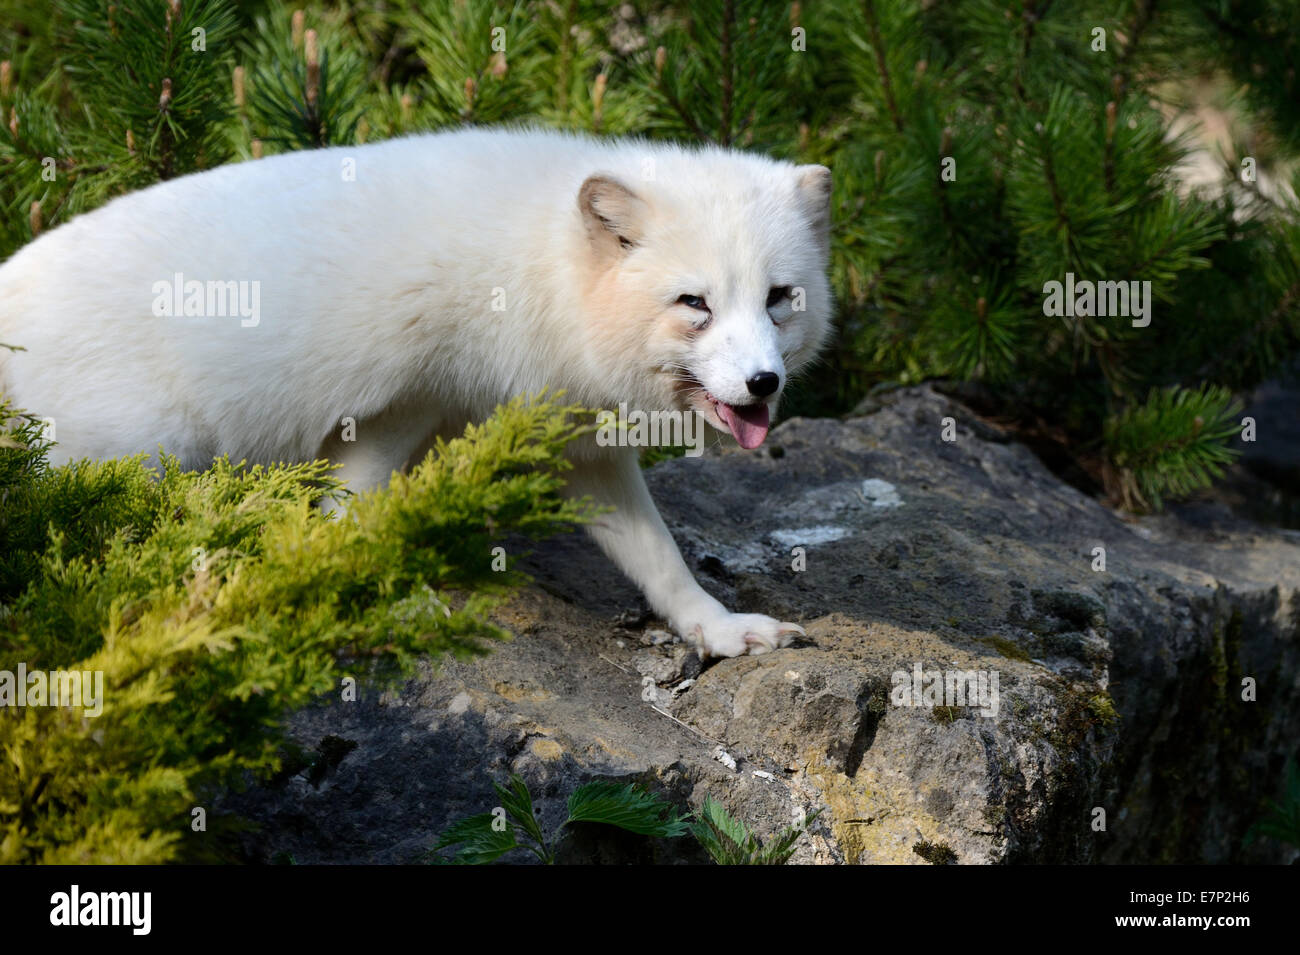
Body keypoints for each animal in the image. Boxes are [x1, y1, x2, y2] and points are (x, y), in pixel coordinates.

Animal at [0, 127, 833, 658]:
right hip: (141, 453)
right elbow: (350, 516)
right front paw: (369, 592)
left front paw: (717, 627)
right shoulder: (393, 410)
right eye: (695, 303)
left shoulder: (571, 441)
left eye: (778, 298)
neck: (535, 272)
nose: (764, 383)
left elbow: (659, 558)